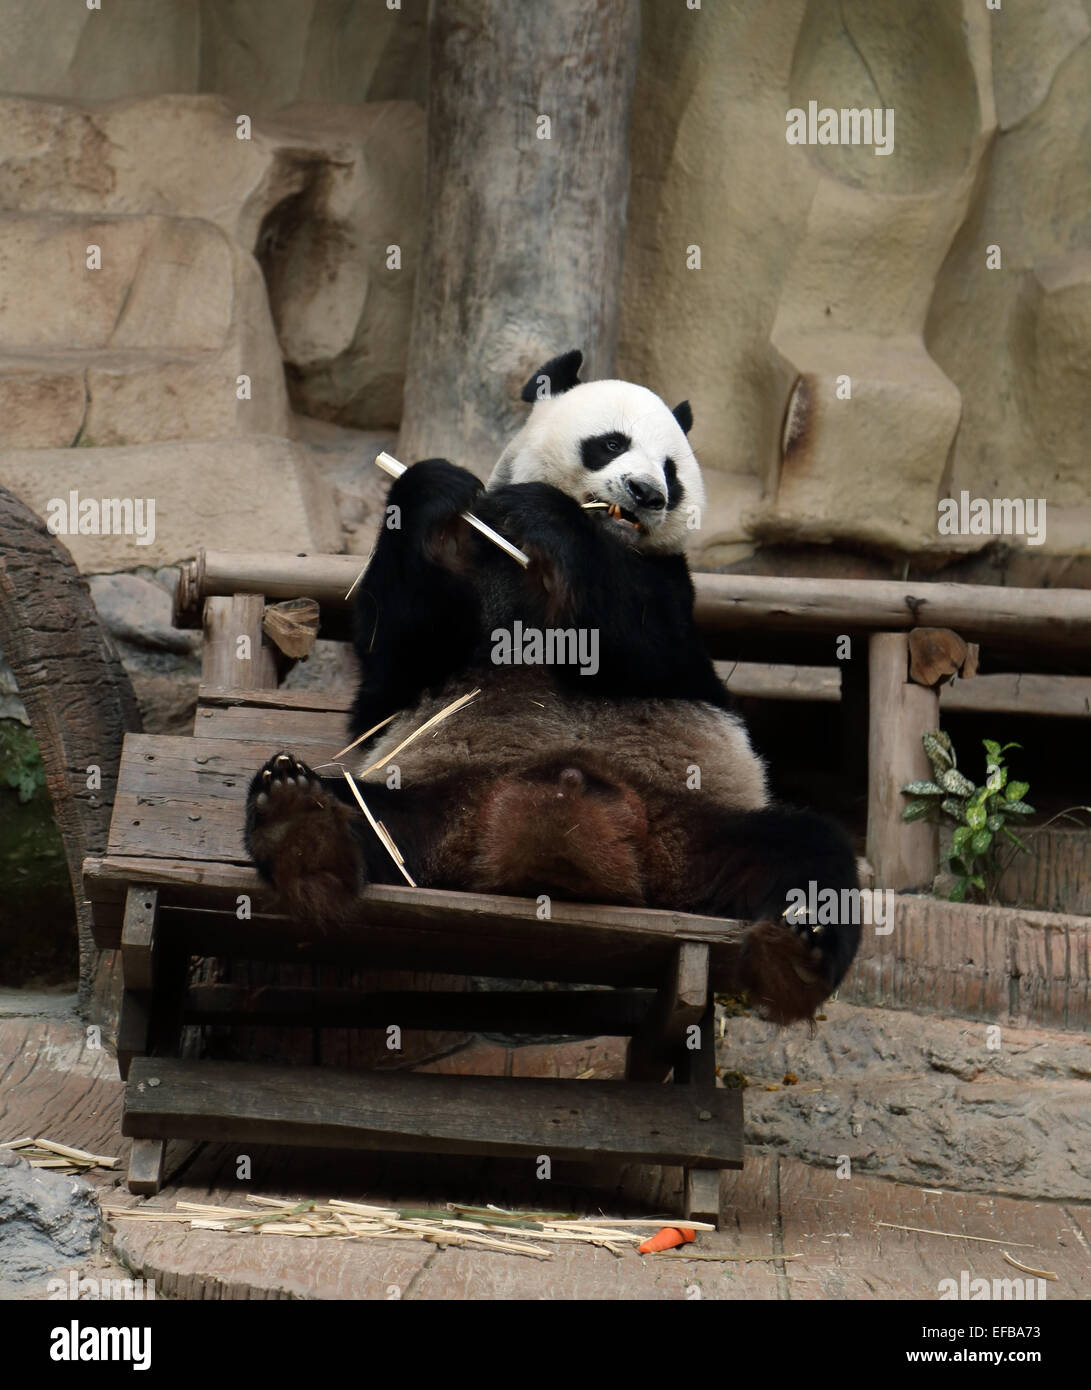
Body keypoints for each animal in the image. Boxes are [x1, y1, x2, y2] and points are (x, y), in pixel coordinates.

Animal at [245, 350, 860, 1023]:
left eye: (672, 469)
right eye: (611, 443)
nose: (648, 494)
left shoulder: (670, 589)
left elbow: (647, 643)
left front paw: (553, 518)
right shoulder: (471, 572)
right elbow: (396, 669)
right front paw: (433, 490)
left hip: (703, 829)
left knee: (812, 853)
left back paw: (796, 955)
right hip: (435, 808)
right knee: (367, 813)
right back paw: (300, 824)